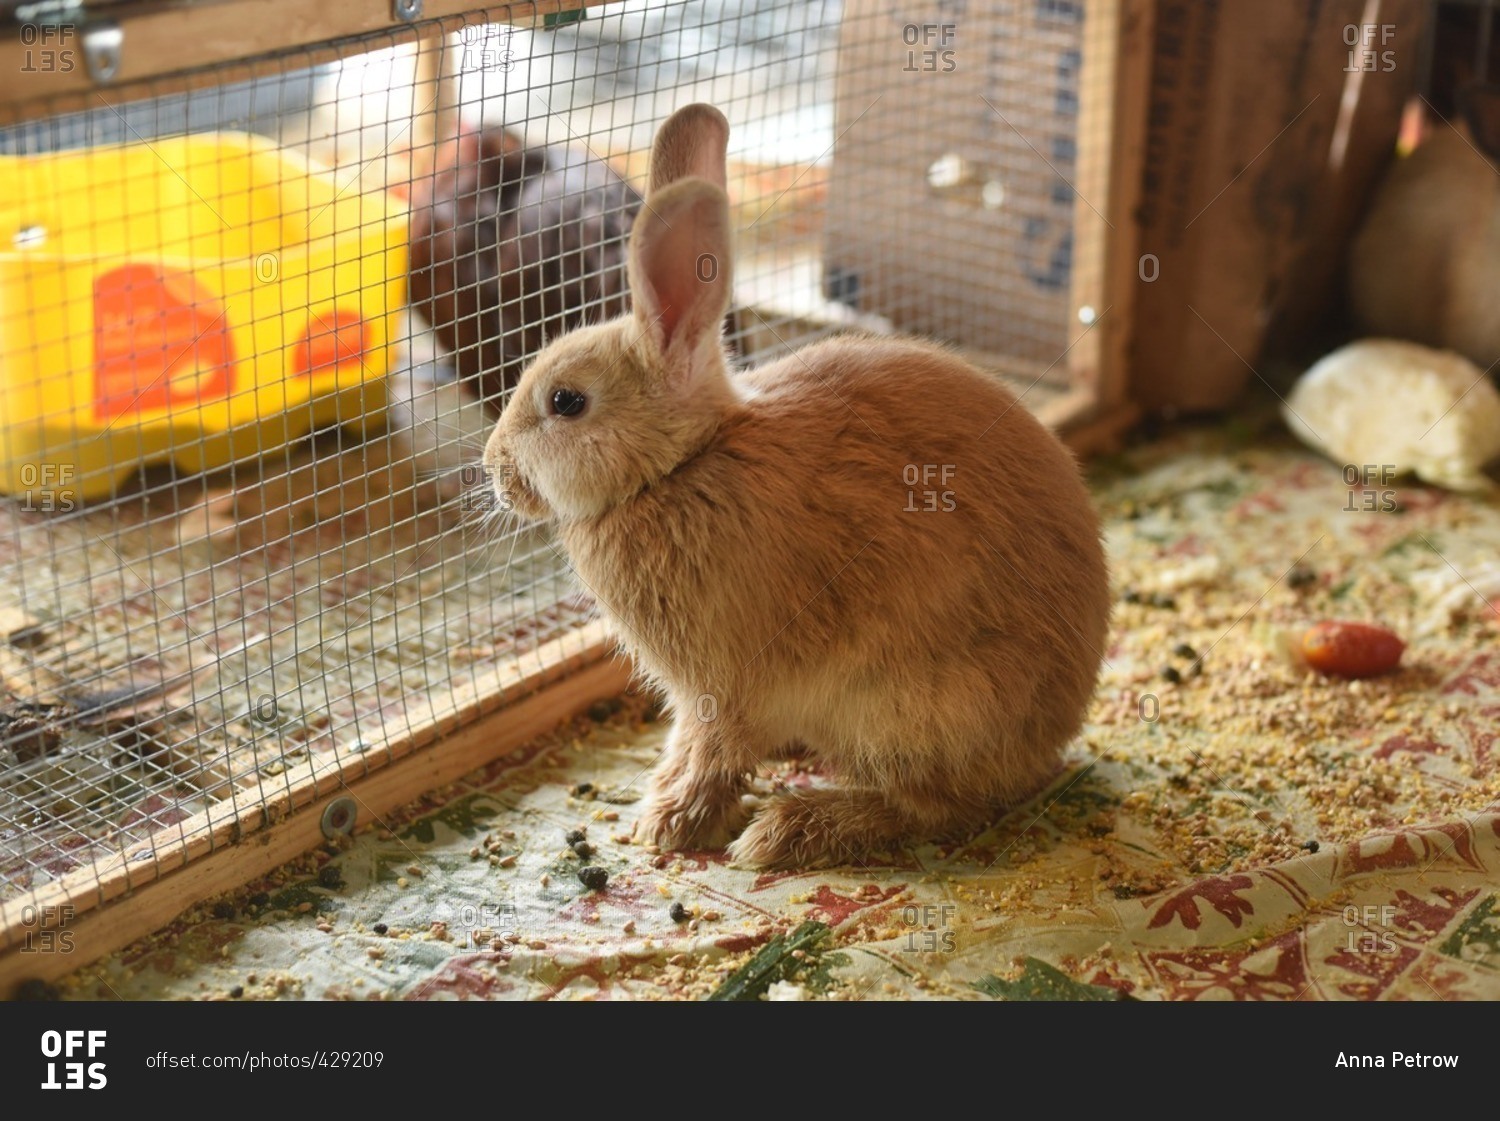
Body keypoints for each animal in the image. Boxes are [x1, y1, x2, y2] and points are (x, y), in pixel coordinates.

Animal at [482, 104, 1112, 869]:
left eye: (566, 402)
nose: (495, 471)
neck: (683, 465)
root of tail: (1053, 733)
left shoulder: (723, 685)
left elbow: (711, 749)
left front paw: (669, 824)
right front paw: (662, 800)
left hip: (913, 707)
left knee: (933, 808)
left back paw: (791, 829)